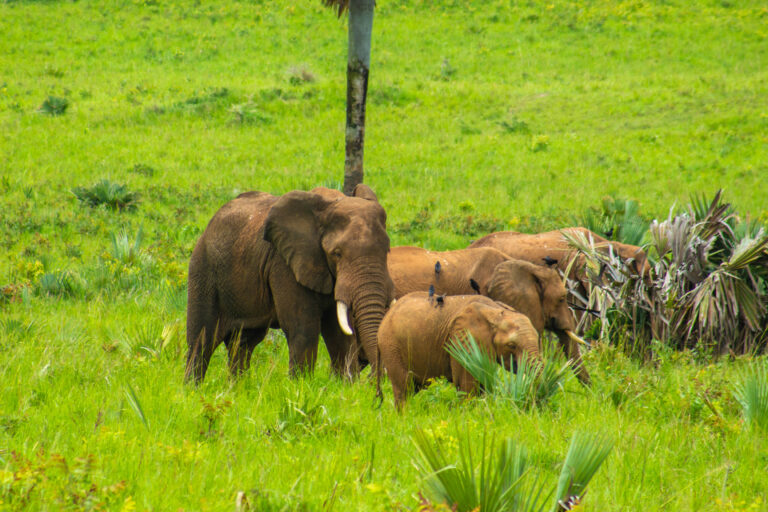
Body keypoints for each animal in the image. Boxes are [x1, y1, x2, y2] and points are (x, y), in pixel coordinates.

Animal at [185, 185, 395, 383]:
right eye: (337, 253)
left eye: (387, 250)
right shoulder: (284, 265)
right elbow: (302, 328)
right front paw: (302, 386)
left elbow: (340, 334)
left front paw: (345, 387)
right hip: (203, 270)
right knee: (201, 340)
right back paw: (193, 389)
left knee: (243, 343)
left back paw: (237, 388)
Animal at [377, 293, 540, 408]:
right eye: (511, 345)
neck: (494, 310)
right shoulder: (462, 341)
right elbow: (467, 385)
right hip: (390, 346)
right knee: (404, 388)